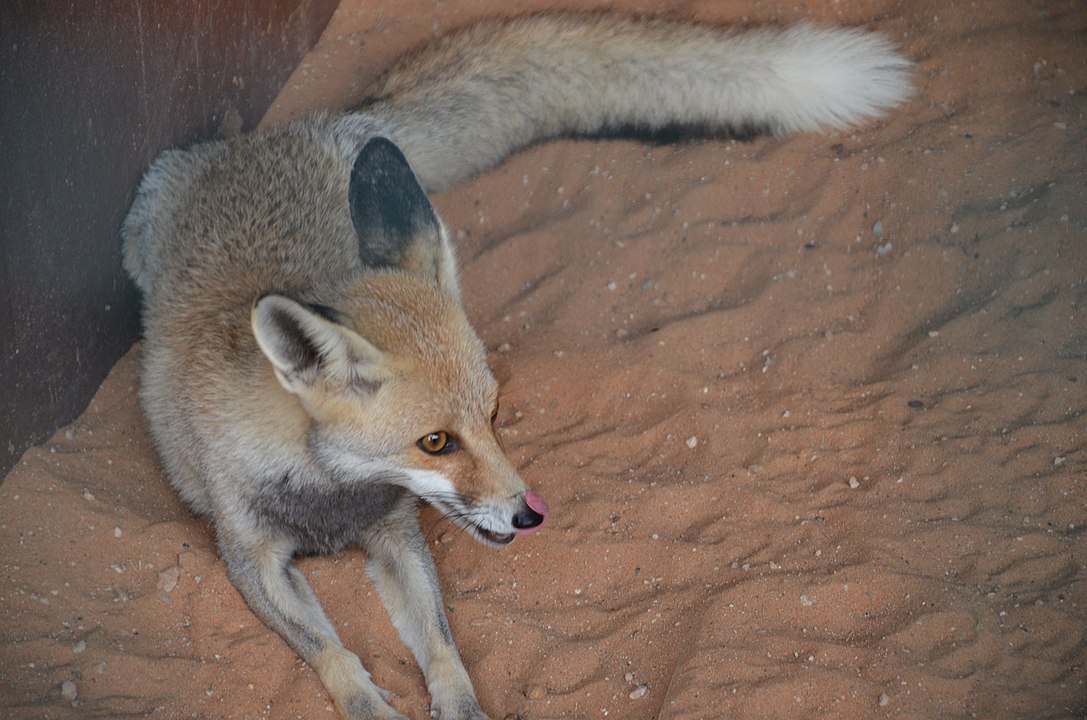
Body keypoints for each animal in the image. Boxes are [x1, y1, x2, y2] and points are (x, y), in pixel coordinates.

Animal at [121, 12, 912, 720]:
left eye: (495, 415)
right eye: (435, 442)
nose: (529, 514)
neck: (329, 495)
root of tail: (280, 132)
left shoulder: (397, 534)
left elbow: (443, 649)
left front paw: (462, 707)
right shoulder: (249, 559)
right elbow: (335, 658)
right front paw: (372, 705)